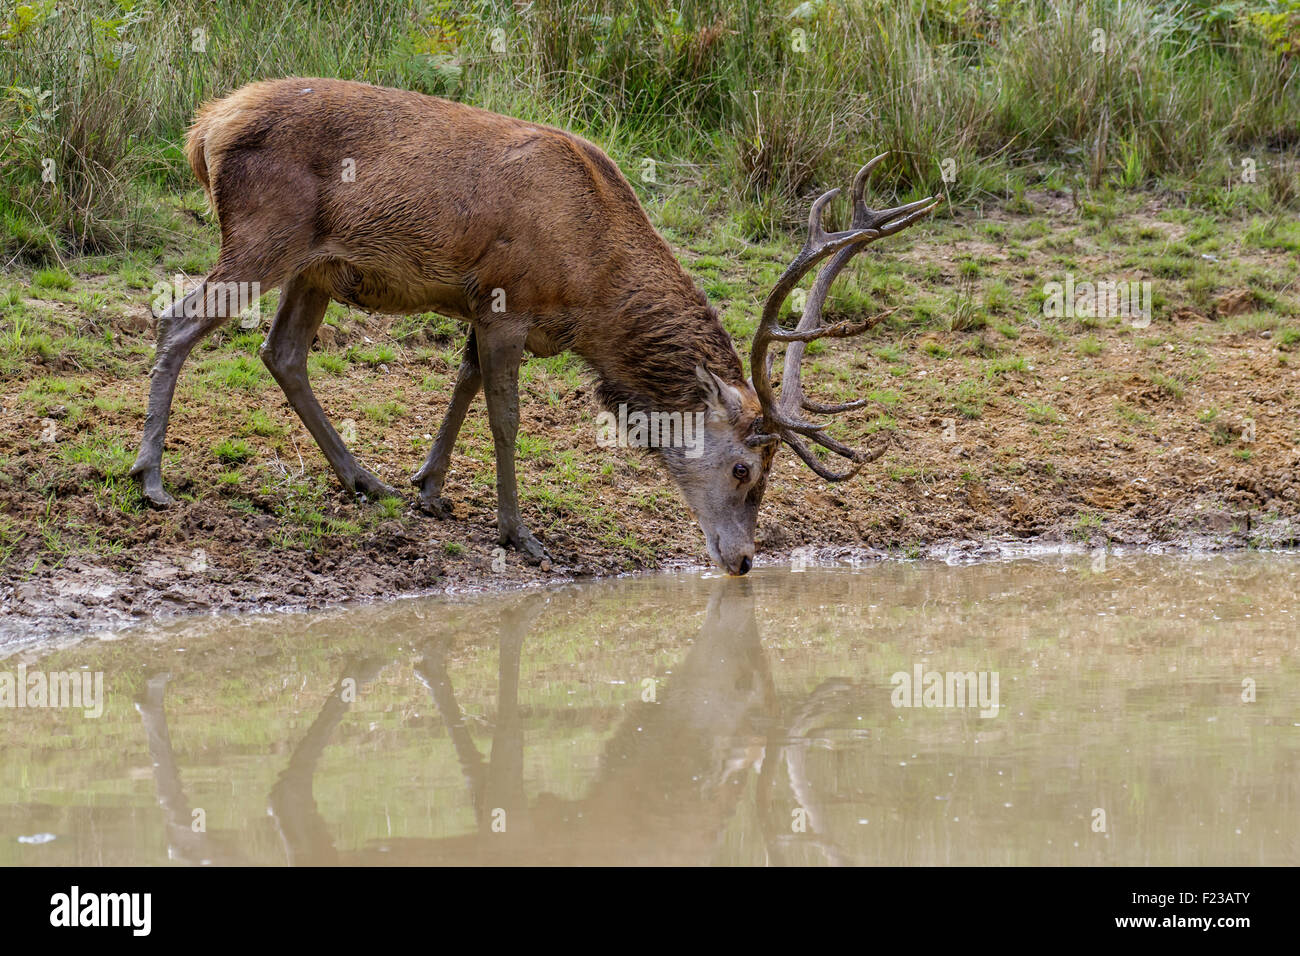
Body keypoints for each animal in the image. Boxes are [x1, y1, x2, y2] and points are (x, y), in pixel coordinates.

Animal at [130, 78, 936, 575]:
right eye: (745, 470)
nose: (741, 560)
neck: (591, 288)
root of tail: (204, 129)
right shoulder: (508, 301)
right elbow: (505, 415)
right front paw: (519, 534)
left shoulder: (479, 305)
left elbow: (462, 382)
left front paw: (427, 488)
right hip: (263, 236)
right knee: (178, 322)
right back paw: (151, 479)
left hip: (316, 267)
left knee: (284, 353)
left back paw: (366, 481)